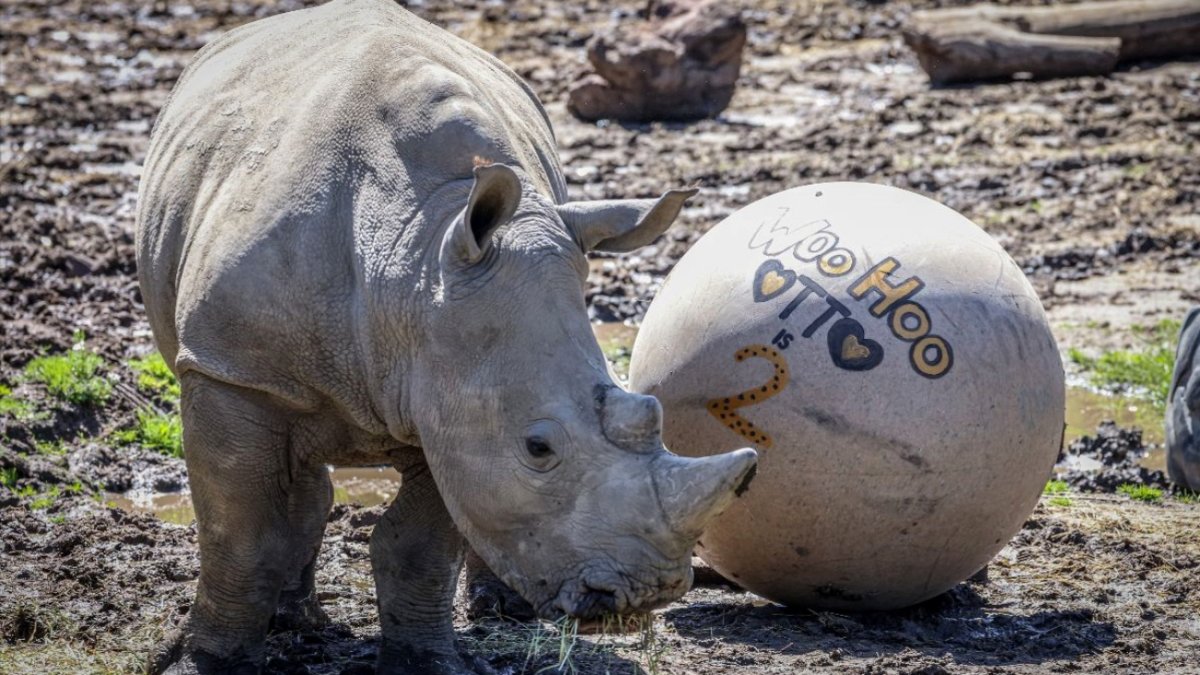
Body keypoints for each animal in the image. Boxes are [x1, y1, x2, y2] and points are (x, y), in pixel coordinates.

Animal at [135, 0, 758, 672]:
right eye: (538, 448)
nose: (648, 592)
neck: (413, 264)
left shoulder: (446, 392)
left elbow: (423, 543)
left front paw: (425, 663)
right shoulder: (231, 369)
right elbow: (241, 533)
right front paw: (210, 660)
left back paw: (501, 611)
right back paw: (294, 619)